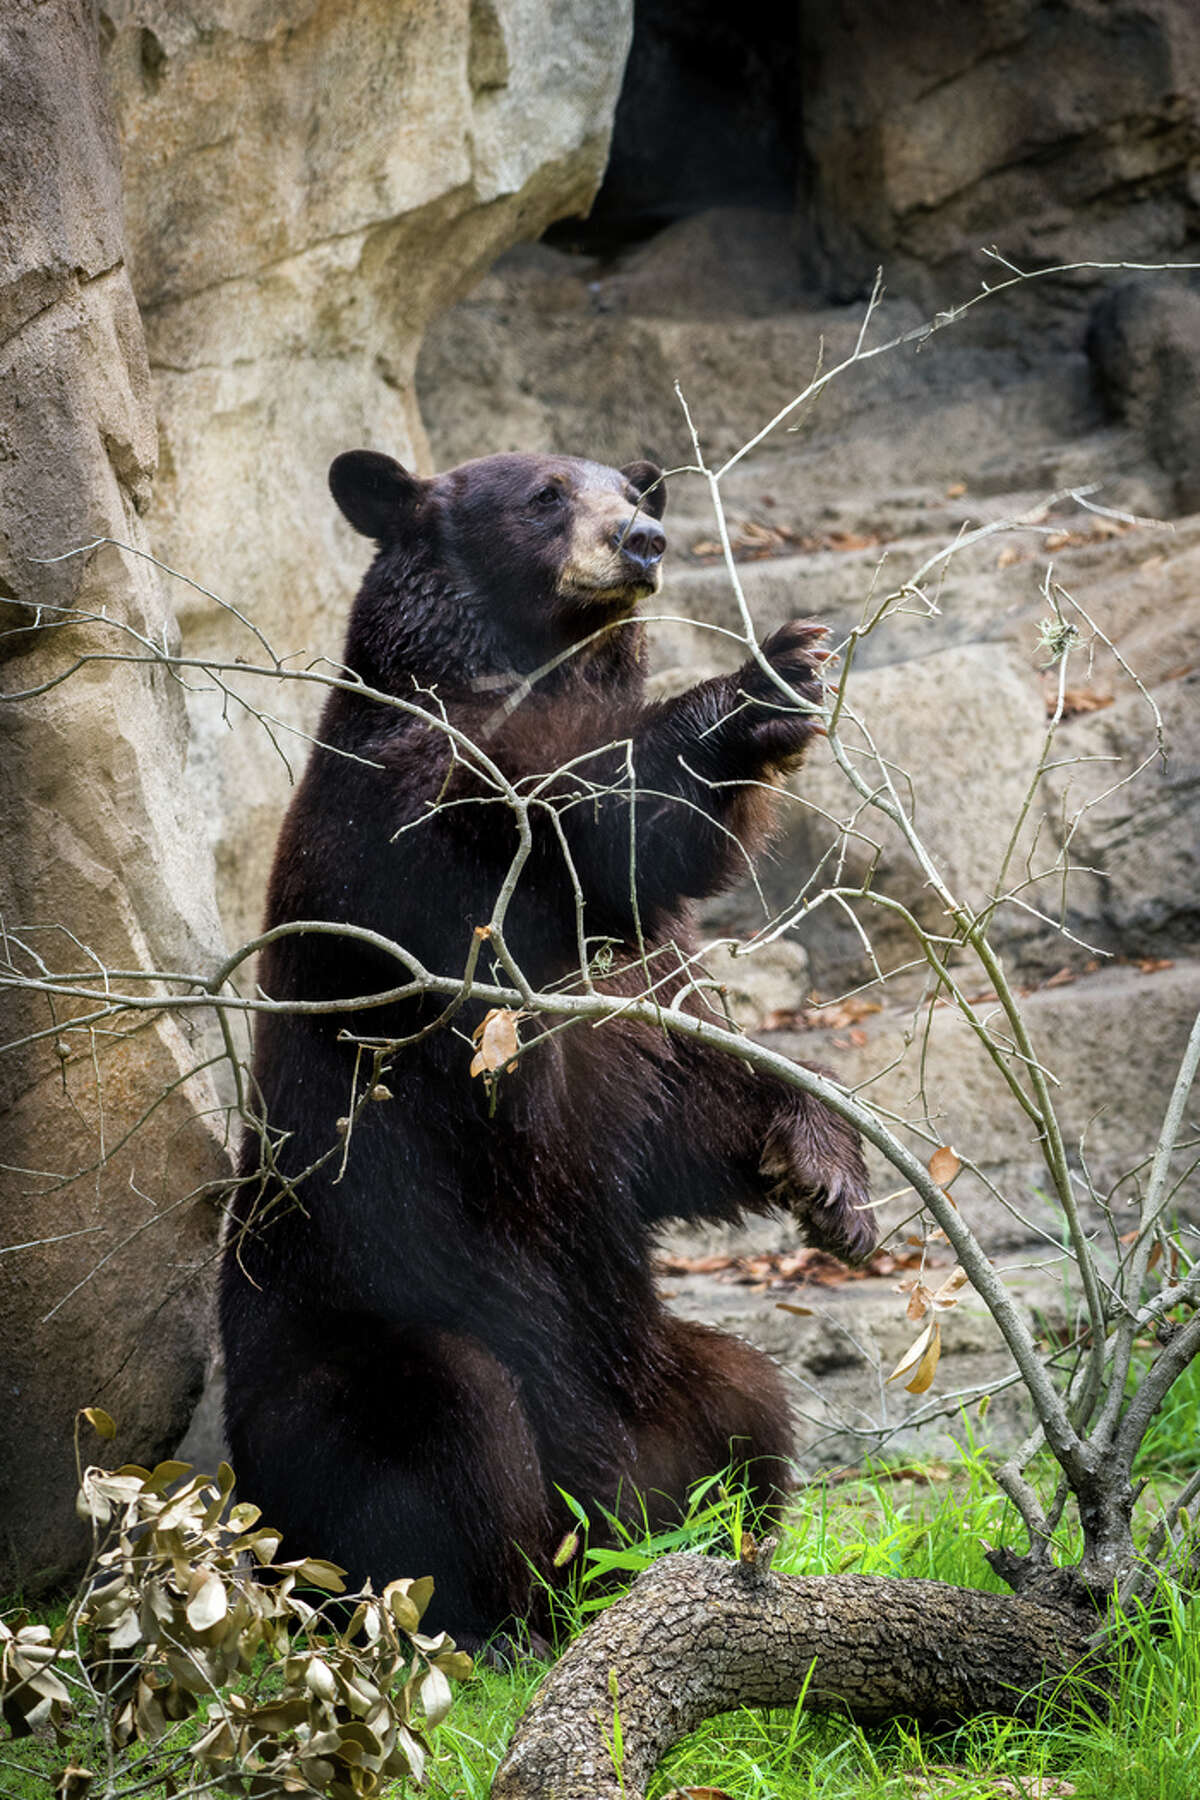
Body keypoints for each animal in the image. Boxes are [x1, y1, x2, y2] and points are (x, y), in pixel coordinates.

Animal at [219, 448, 873, 1652]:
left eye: (632, 489)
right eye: (543, 496)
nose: (643, 540)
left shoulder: (642, 972)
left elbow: (675, 1093)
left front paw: (828, 1178)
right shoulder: (413, 835)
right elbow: (558, 824)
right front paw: (762, 683)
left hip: (655, 1377)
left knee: (746, 1400)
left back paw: (701, 1550)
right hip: (360, 1340)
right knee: (446, 1431)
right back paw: (506, 1618)